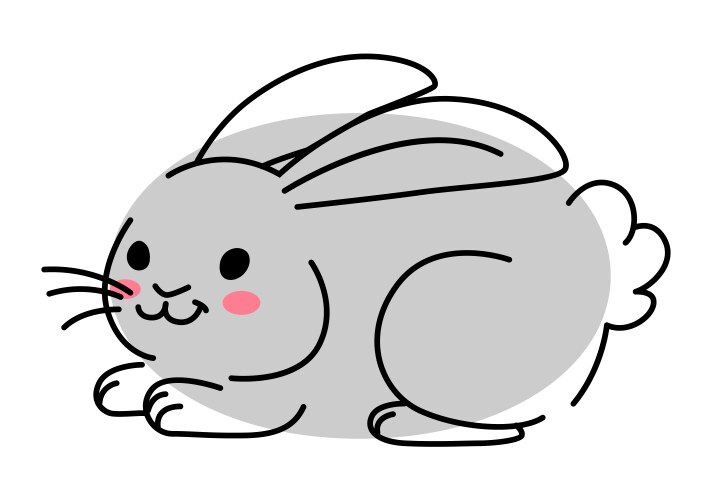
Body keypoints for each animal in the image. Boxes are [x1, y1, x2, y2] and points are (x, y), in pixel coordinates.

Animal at [43, 54, 670, 445]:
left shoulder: (278, 395)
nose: (165, 290)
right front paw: (125, 384)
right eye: (138, 255)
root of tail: (606, 277)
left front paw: (173, 402)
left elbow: (249, 409)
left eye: (235, 264)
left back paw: (398, 421)